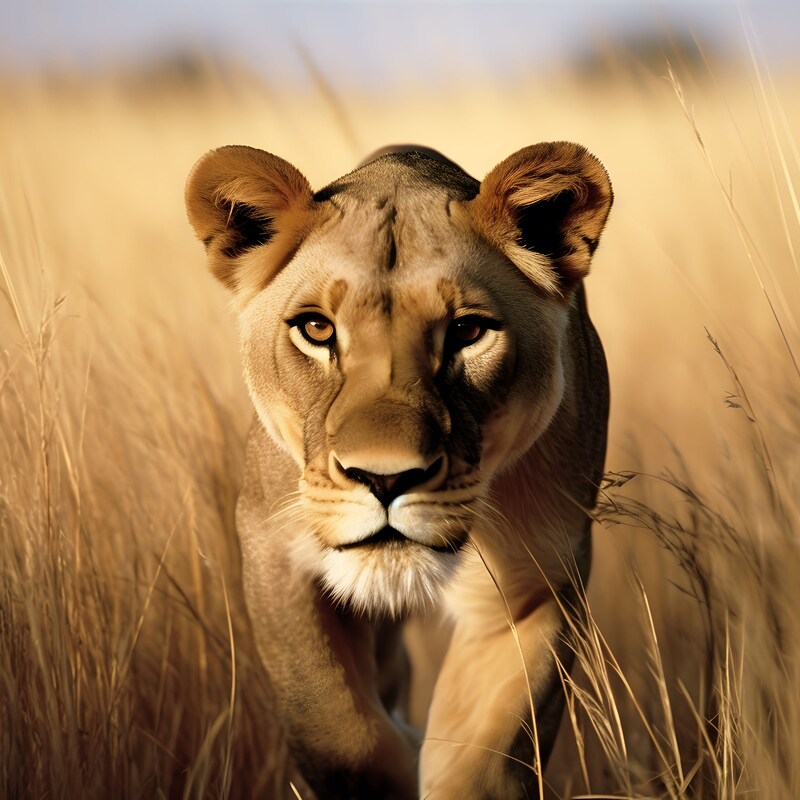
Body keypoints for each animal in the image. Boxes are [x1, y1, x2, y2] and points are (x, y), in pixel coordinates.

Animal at [186, 141, 612, 799]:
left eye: (468, 331)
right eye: (317, 329)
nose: (385, 479)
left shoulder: (535, 580)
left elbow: (481, 760)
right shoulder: (270, 549)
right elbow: (338, 728)